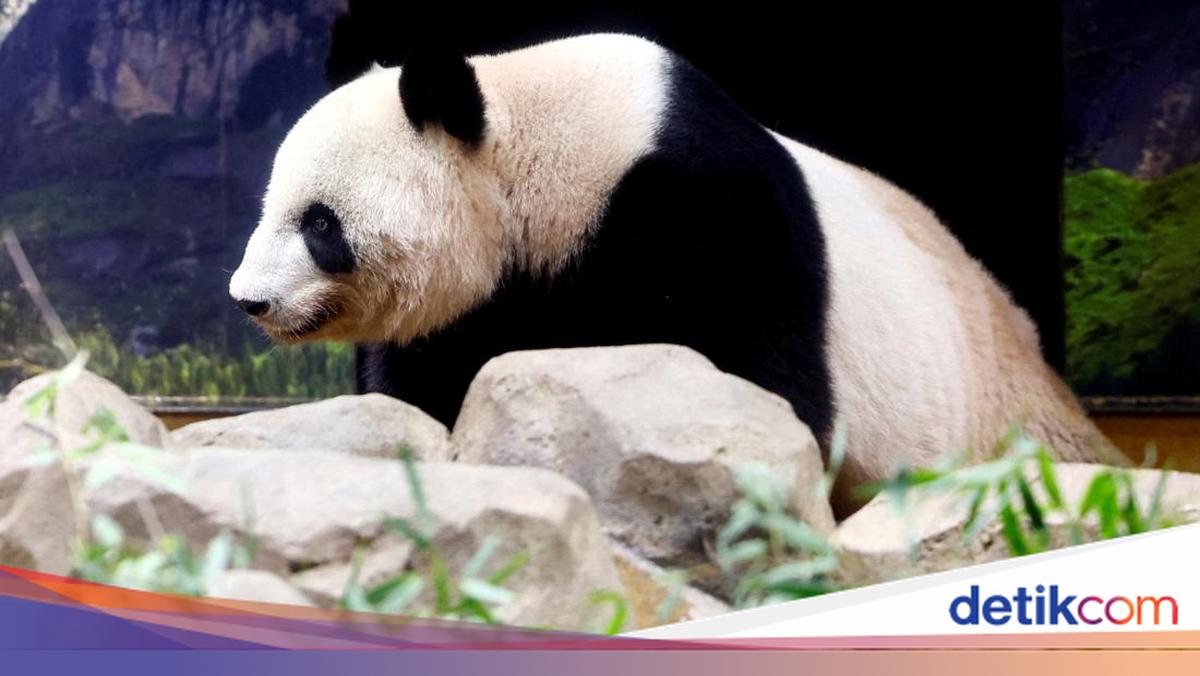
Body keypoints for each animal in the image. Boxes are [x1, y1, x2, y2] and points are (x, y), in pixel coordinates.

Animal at [229, 33, 1119, 514]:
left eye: (319, 223)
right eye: (271, 207)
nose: (249, 301)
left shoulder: (709, 208)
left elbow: (761, 380)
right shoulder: (481, 297)